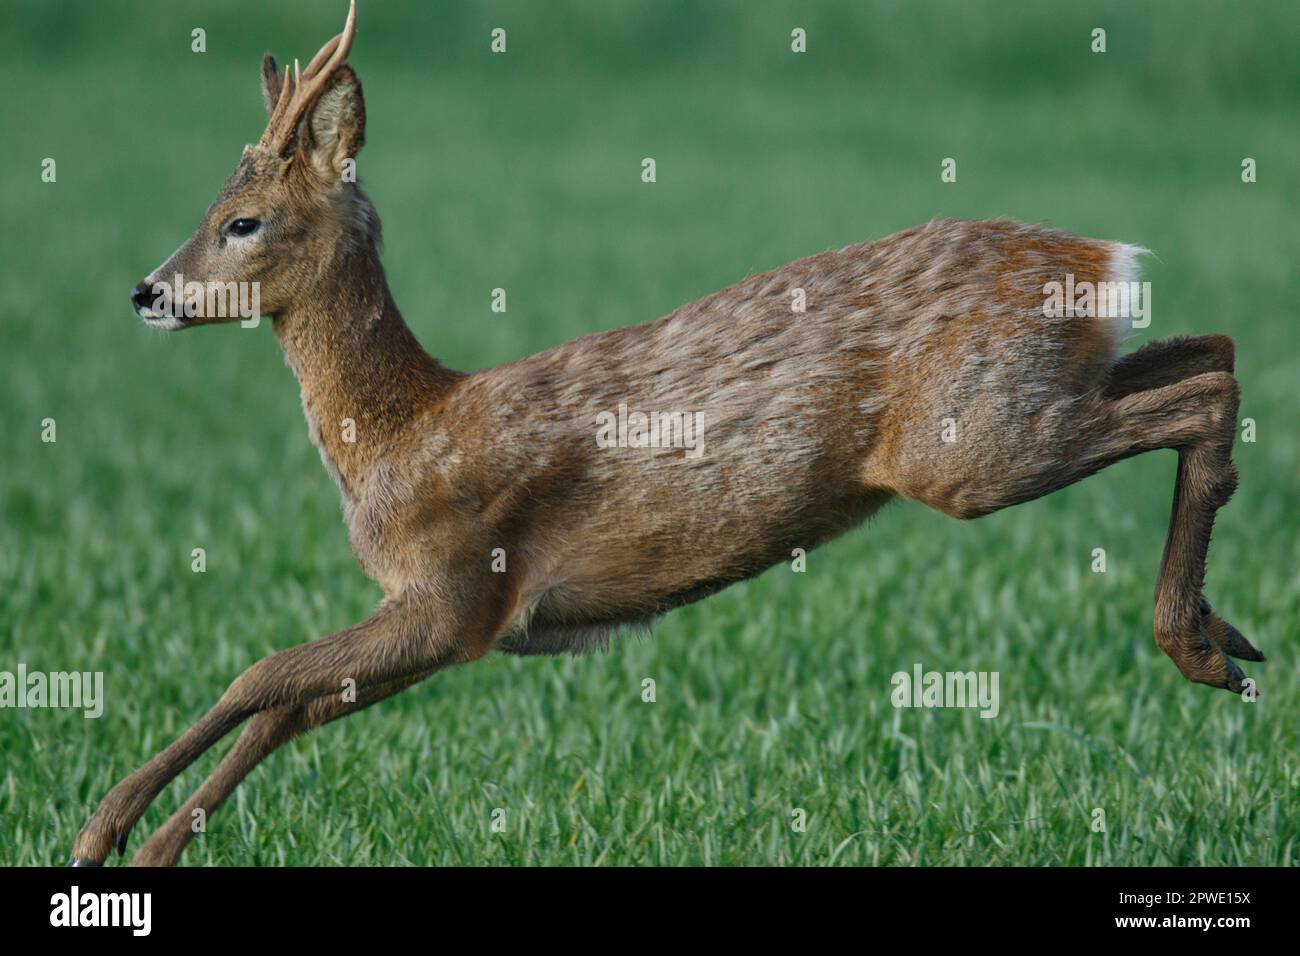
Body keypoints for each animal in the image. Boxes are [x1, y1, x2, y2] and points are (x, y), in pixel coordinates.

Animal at [72, 0, 1261, 867]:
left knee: (1198, 394)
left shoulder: (458, 592)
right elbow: (290, 708)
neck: (405, 433)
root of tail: (1100, 257)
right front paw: (152, 847)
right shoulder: (444, 616)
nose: (145, 291)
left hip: (970, 445)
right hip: (1037, 395)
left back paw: (1197, 645)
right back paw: (1227, 631)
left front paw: (103, 830)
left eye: (242, 222)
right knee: (1212, 347)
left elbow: (262, 674)